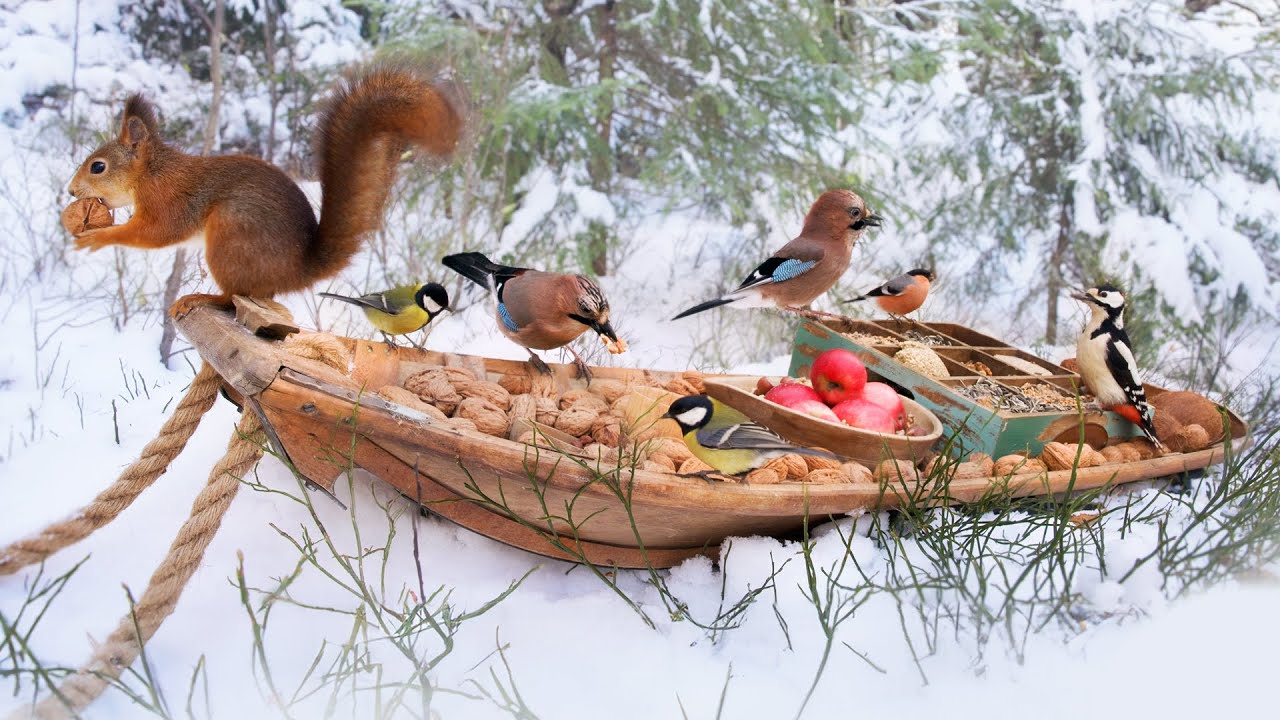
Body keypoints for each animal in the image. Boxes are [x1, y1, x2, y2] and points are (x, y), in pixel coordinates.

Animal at [66, 63, 464, 318]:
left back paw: (200, 298)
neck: (150, 173)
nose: (71, 192)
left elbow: (153, 233)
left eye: (98, 166)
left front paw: (97, 238)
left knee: (234, 296)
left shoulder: (168, 202)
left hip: (231, 234)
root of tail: (296, 271)